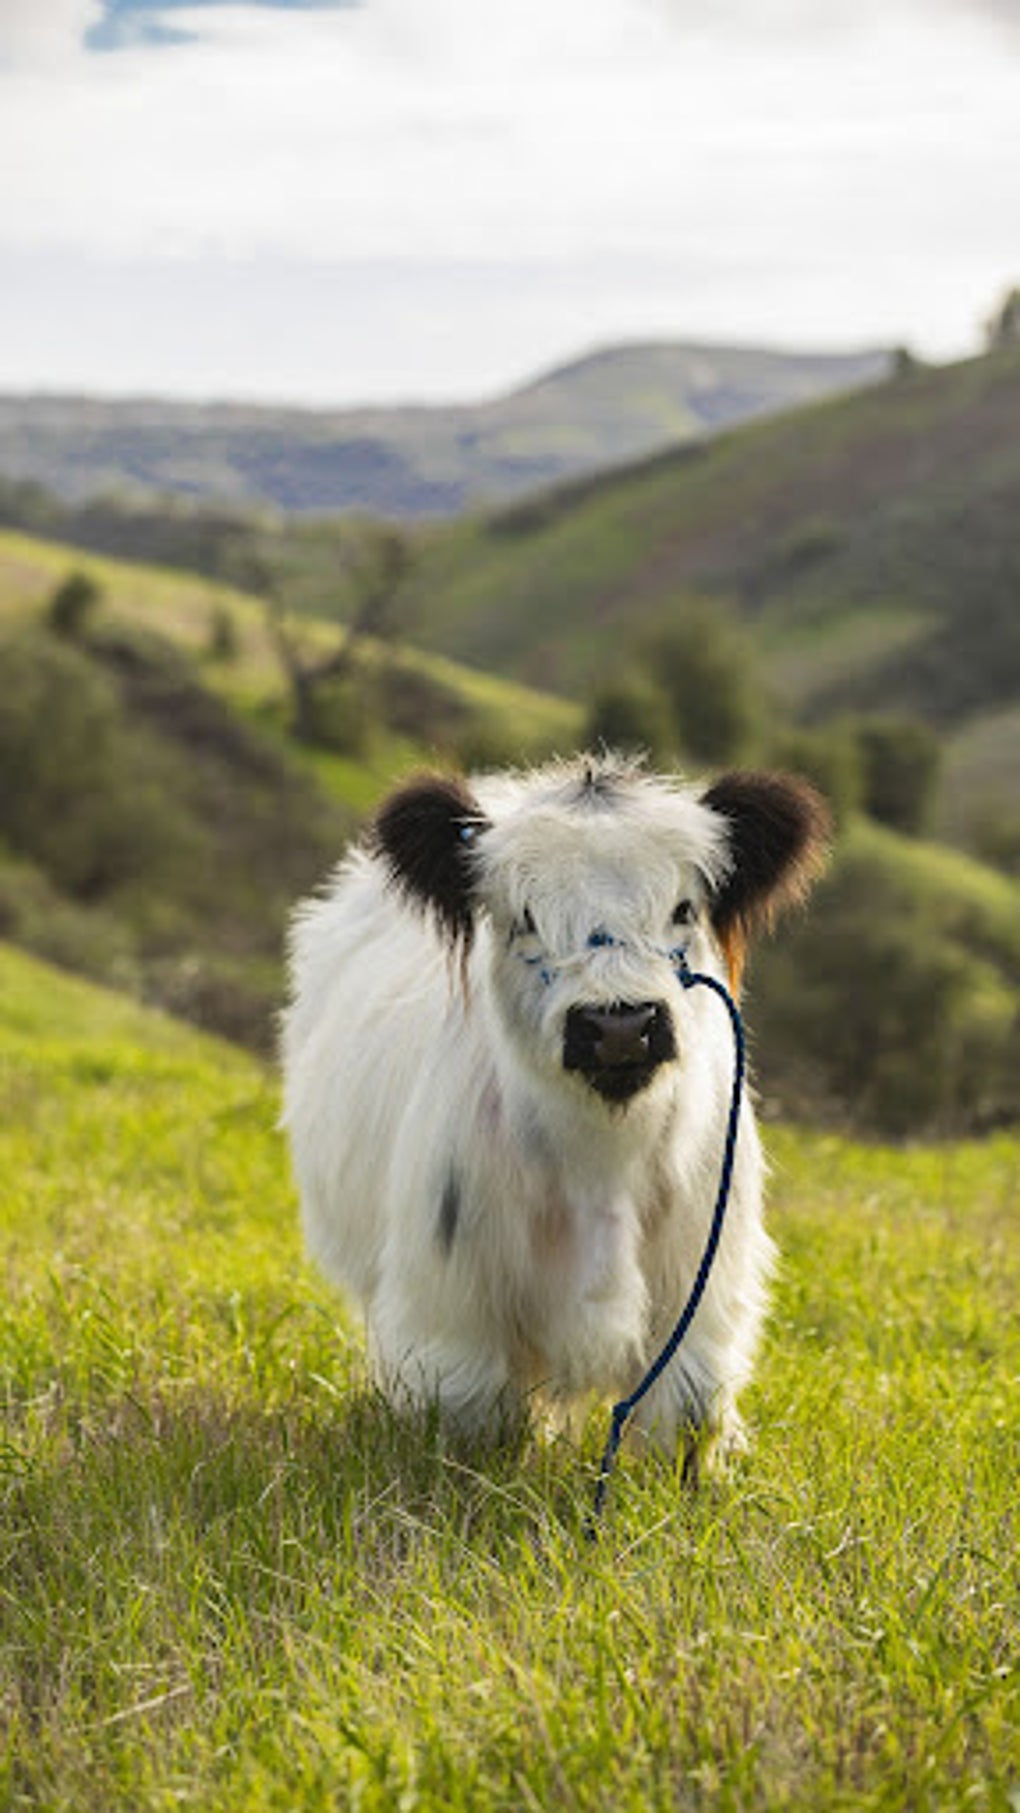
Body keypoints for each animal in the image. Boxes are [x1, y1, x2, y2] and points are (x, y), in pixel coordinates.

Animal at [281, 754, 829, 1471]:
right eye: (524, 917)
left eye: (683, 907)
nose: (619, 1025)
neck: (604, 1155)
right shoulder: (455, 1303)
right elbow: (467, 1417)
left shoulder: (700, 1292)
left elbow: (685, 1416)